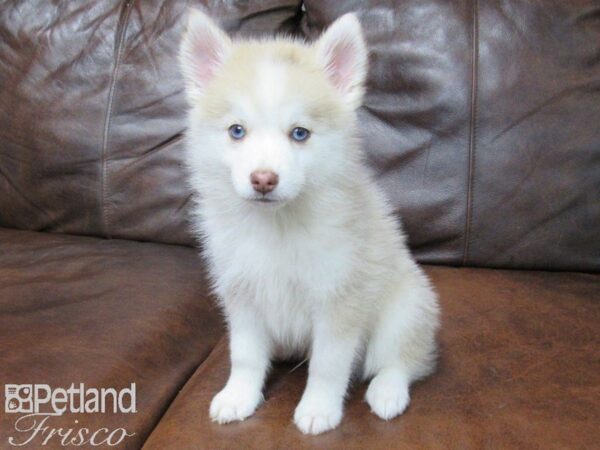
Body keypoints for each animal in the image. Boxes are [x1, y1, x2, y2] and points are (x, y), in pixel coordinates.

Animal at [179, 8, 440, 434]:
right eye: (237, 131)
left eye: (299, 133)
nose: (263, 179)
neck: (277, 225)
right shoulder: (242, 296)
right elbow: (244, 356)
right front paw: (239, 396)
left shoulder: (338, 300)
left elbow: (327, 365)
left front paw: (319, 408)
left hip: (406, 309)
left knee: (402, 360)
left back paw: (388, 392)